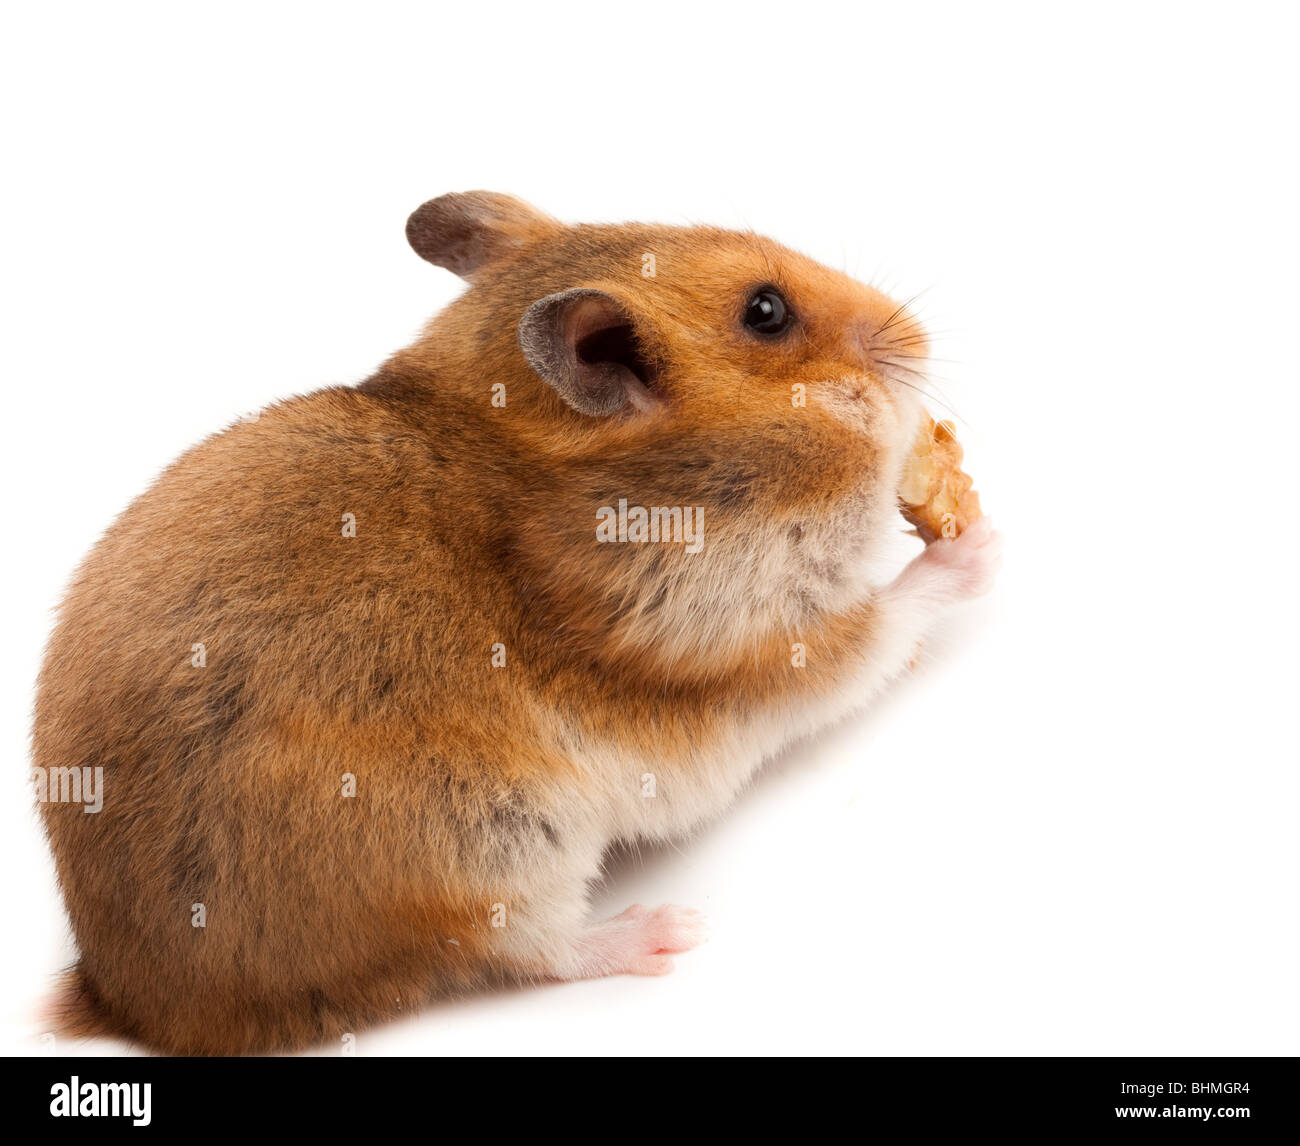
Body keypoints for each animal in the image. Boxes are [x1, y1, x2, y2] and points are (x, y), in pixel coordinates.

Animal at [33, 191, 1000, 1054]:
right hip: (495, 848)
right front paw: (978, 545)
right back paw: (664, 930)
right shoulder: (751, 639)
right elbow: (882, 625)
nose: (919, 335)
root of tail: (133, 1006)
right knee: (532, 951)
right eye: (767, 314)